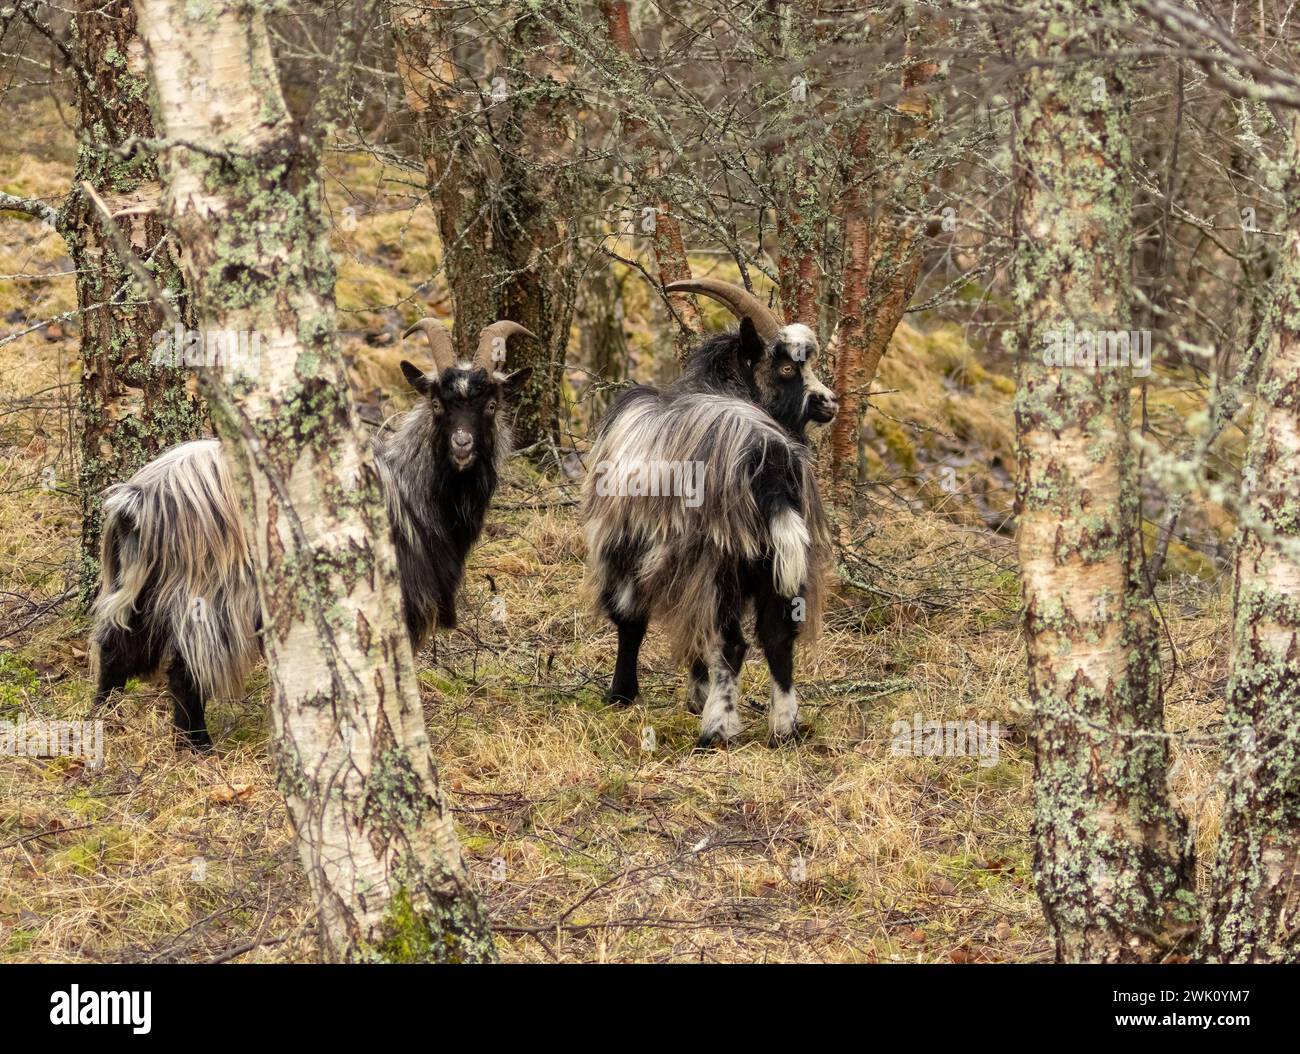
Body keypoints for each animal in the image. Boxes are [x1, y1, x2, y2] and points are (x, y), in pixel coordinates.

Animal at [90, 318, 534, 748]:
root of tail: (139, 498)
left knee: (116, 645)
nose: (462, 446)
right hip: (210, 595)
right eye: (438, 403)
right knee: (185, 669)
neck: (409, 488)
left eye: (491, 405)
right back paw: (198, 746)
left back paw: (103, 717)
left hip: (143, 584)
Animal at [581, 278, 837, 746]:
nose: (829, 402)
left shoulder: (622, 545)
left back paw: (716, 730)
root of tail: (769, 460)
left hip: (720, 558)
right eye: (787, 369)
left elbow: (630, 620)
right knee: (778, 635)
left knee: (730, 642)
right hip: (782, 557)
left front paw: (622, 694)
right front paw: (693, 696)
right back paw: (784, 727)